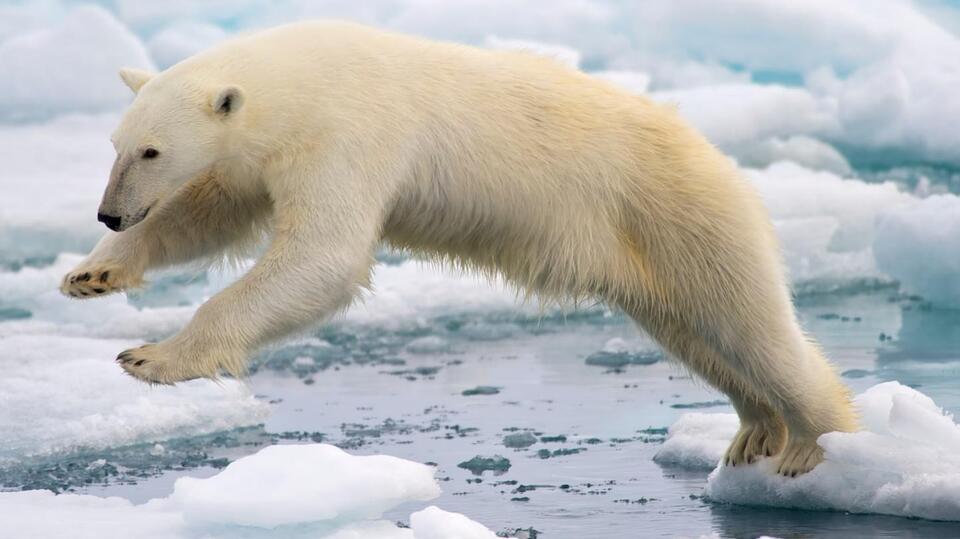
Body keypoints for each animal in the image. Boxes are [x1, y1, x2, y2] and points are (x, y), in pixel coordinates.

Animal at [60, 21, 857, 476]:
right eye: (117, 144)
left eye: (152, 150)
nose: (108, 212)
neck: (300, 78)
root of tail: (718, 157)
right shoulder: (264, 155)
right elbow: (211, 212)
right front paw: (93, 273)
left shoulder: (349, 132)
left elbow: (323, 256)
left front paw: (152, 357)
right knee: (697, 334)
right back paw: (754, 431)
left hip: (679, 213)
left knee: (750, 324)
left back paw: (814, 444)